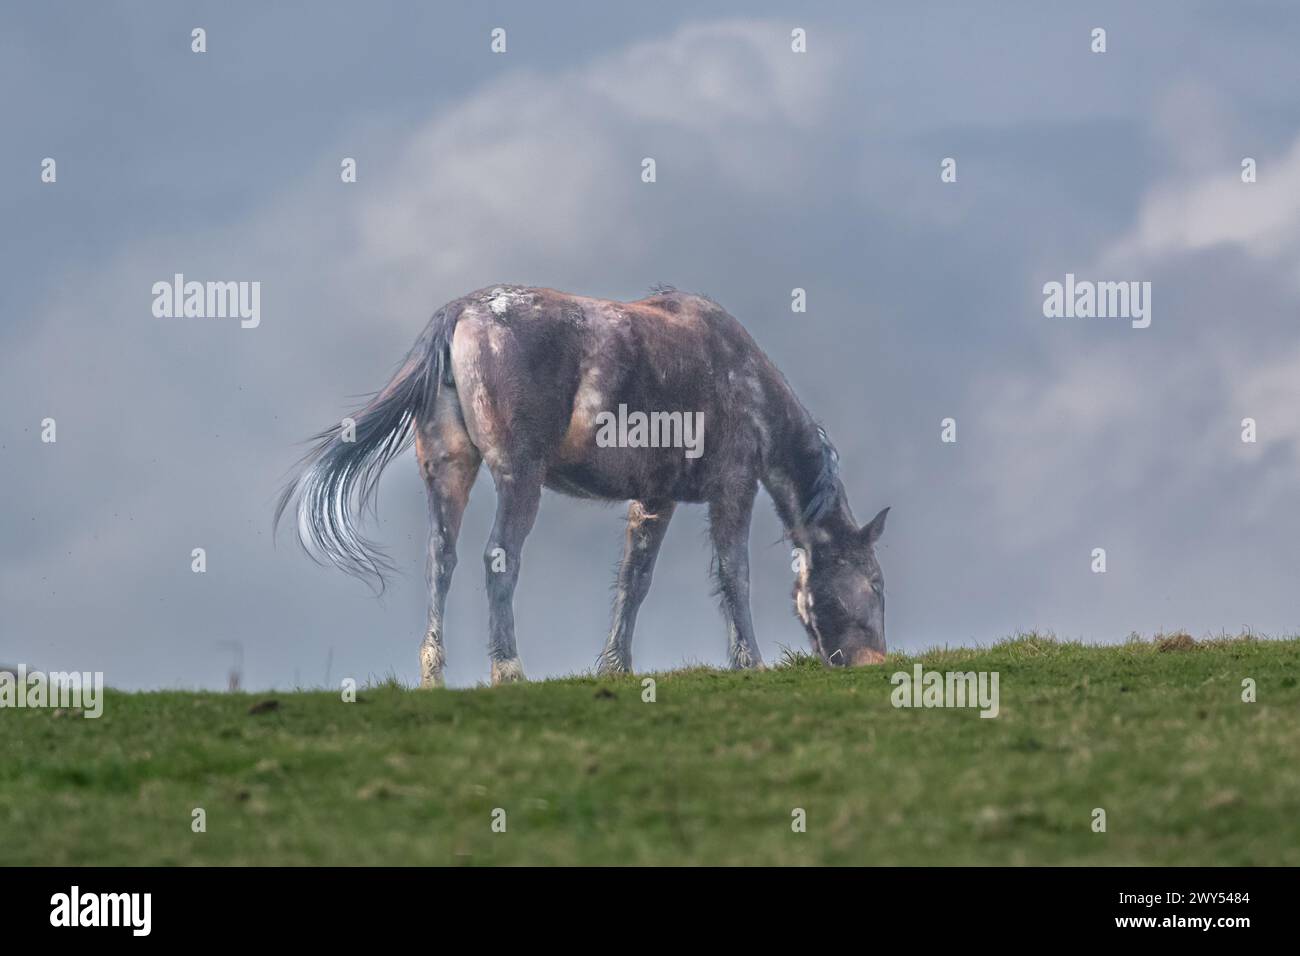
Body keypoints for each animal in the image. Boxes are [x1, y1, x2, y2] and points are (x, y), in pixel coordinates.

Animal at [275, 285, 890, 686]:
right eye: (877, 583)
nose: (873, 662)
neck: (741, 375)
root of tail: (459, 313)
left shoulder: (656, 499)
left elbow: (634, 582)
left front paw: (617, 666)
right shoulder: (733, 488)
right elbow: (733, 575)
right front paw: (750, 661)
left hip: (448, 471)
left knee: (440, 560)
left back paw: (434, 675)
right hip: (519, 477)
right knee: (498, 557)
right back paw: (508, 669)